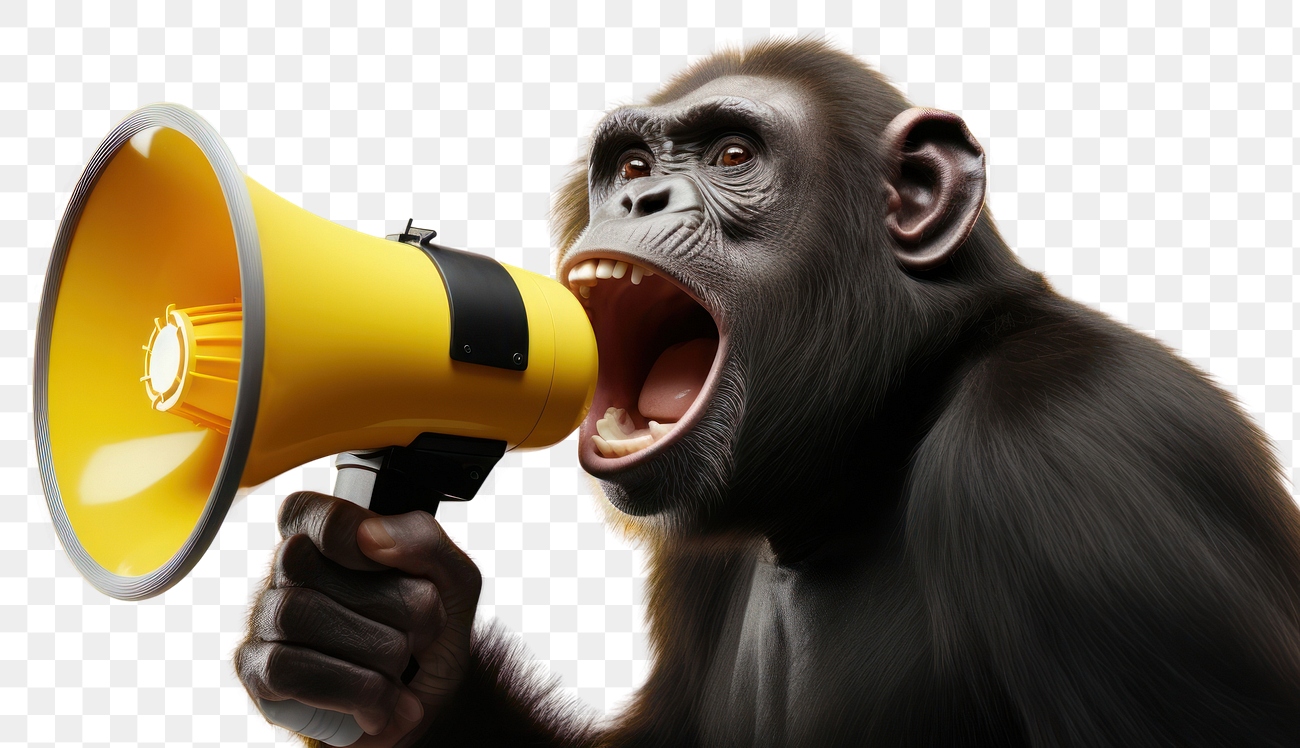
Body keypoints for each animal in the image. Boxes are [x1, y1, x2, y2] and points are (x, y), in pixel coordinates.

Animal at [235, 38, 1300, 746]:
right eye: (631, 165)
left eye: (732, 158)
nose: (641, 199)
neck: (868, 451)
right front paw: (381, 642)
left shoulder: (1086, 459)